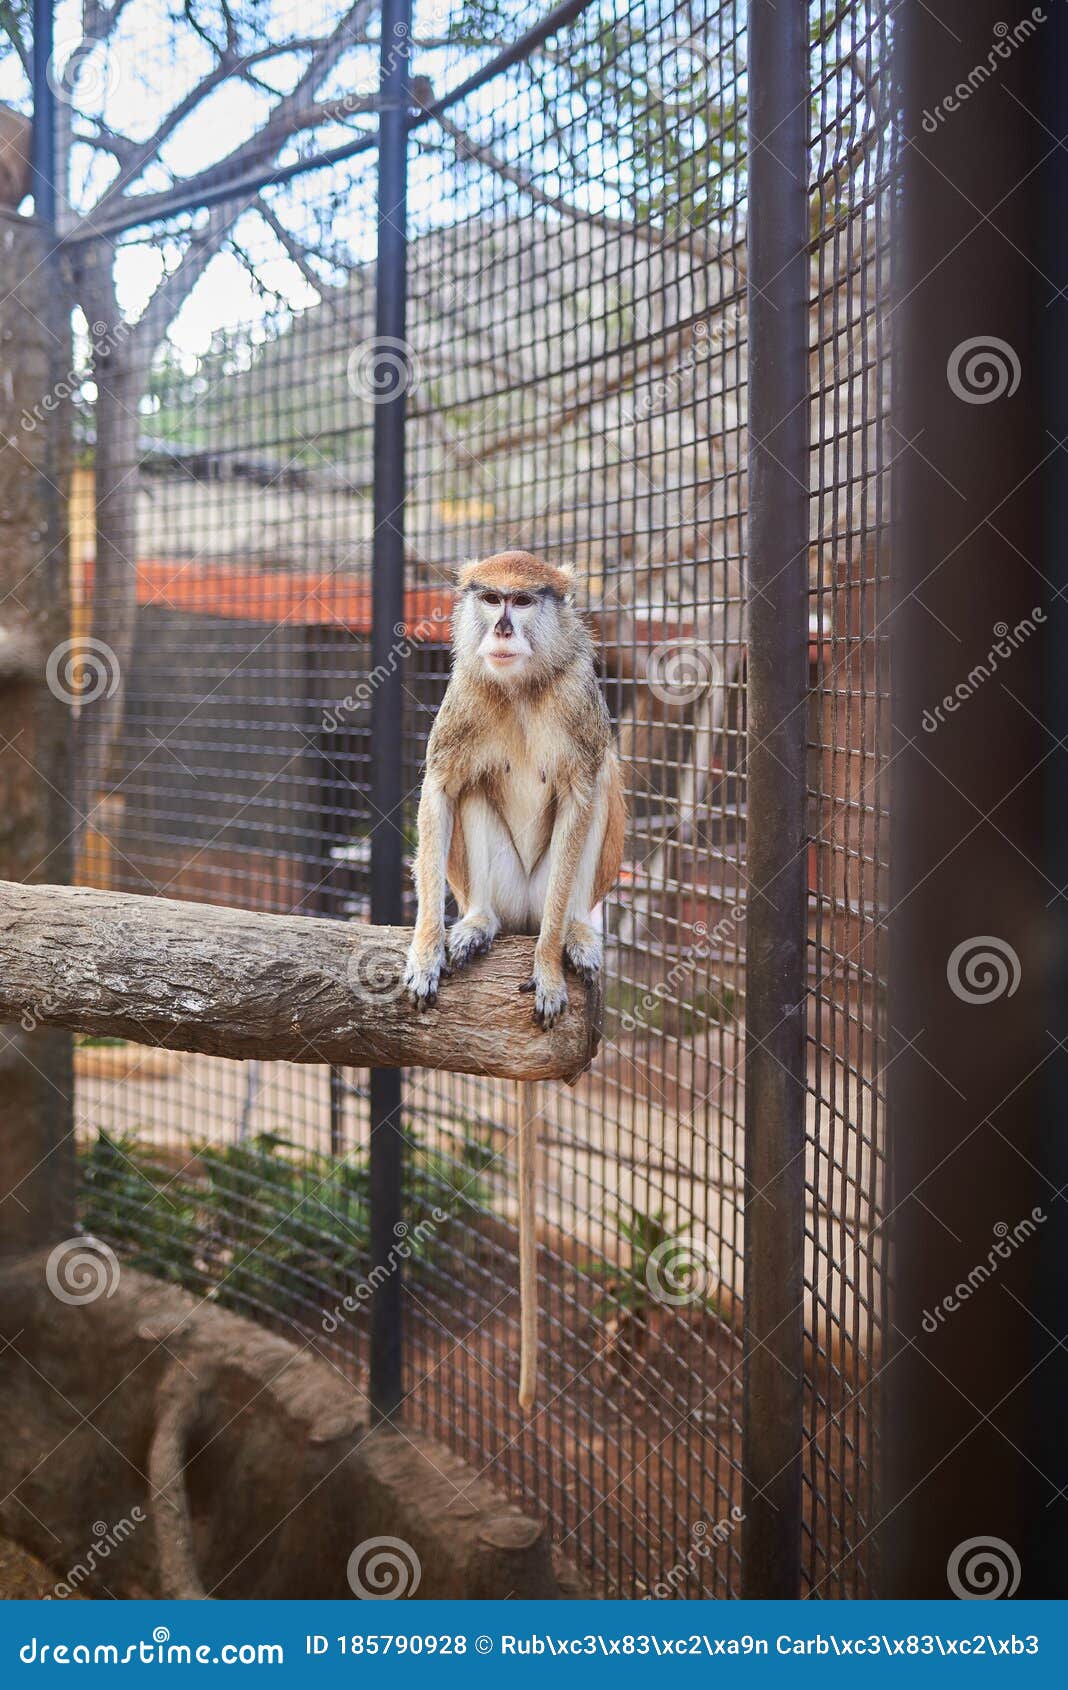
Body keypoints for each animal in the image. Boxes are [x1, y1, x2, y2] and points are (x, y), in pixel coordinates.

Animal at [404, 551, 626, 1410]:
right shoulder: (466, 693)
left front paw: (551, 973)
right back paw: (478, 925)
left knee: (602, 782)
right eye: (491, 597)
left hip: (553, 890)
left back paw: (568, 941)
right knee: (470, 792)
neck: (524, 683)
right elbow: (441, 787)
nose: (500, 626)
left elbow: (582, 790)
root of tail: (527, 913)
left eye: (526, 602)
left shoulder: (577, 700)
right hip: (502, 885)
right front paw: (427, 946)